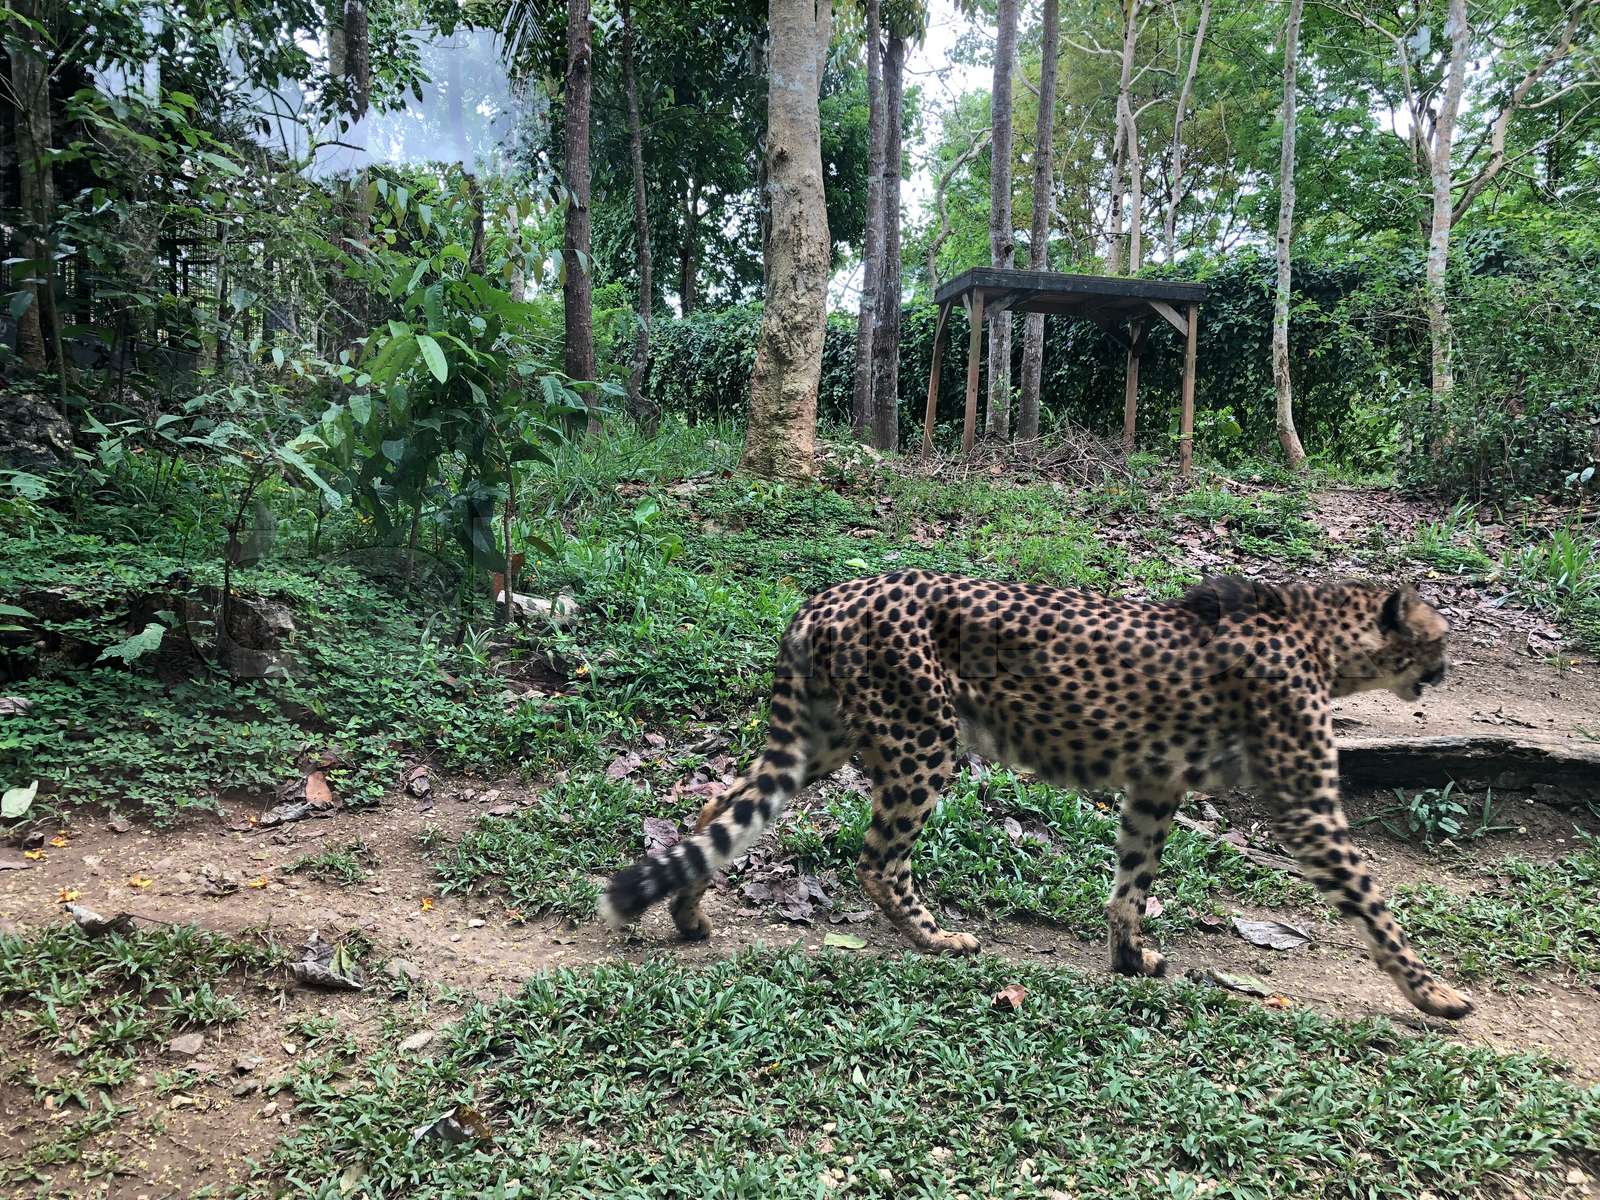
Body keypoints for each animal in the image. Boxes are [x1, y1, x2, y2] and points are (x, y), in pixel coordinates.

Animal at [600, 570, 1471, 1021]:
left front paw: (1129, 957)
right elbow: (1373, 900)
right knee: (878, 860)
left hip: (827, 738)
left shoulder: (1154, 784)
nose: (1443, 671)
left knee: (721, 805)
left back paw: (689, 912)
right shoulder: (1307, 809)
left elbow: (1130, 883)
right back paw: (936, 939)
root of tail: (833, 591)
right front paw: (1432, 991)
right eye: (1438, 637)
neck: (1324, 634)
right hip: (923, 740)